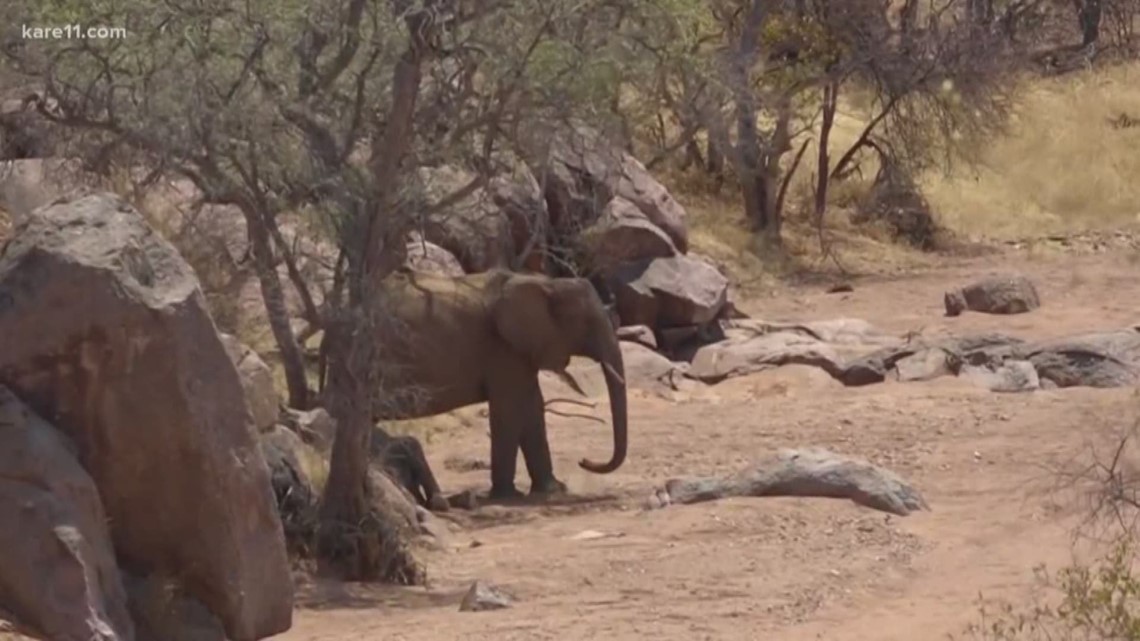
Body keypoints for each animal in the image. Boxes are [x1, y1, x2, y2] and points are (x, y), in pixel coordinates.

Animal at [358, 268, 628, 502]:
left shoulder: (519, 350)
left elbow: (532, 408)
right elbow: (509, 410)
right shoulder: (501, 348)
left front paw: (553, 490)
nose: (584, 461)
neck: (546, 283)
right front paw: (508, 496)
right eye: (587, 323)